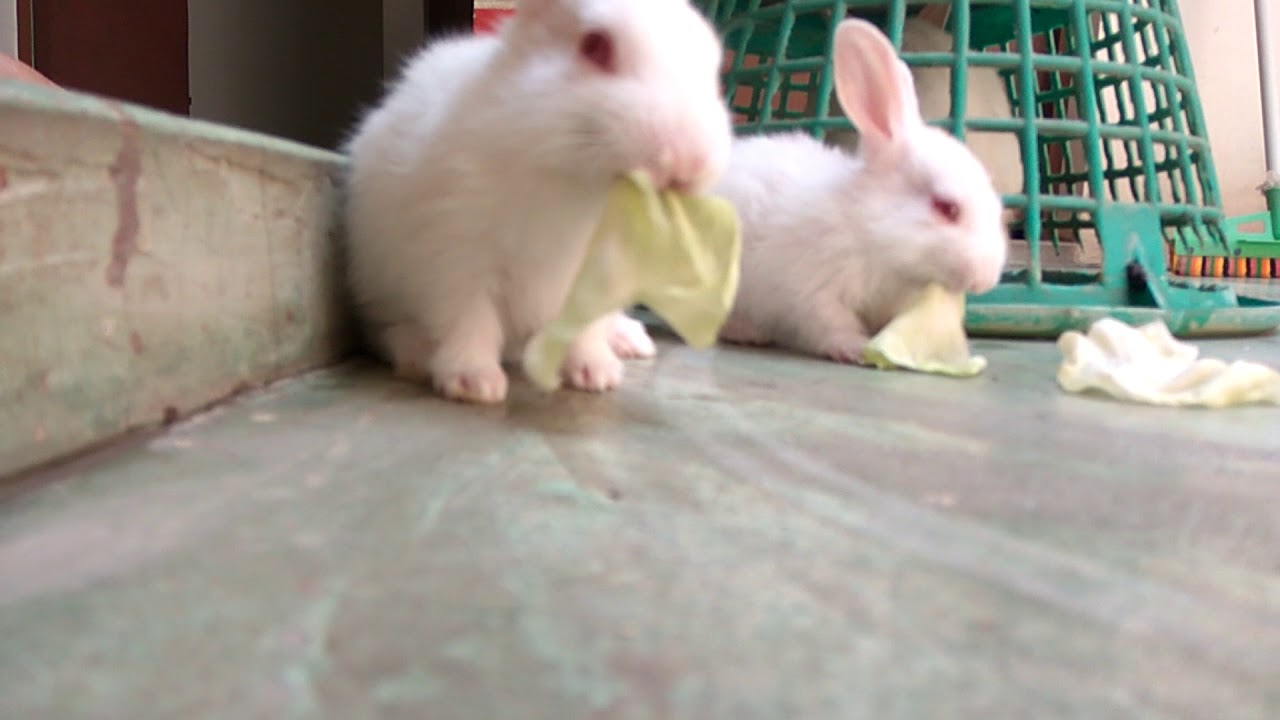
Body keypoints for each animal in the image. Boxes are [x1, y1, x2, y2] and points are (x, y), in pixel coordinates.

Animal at [341, 0, 733, 404]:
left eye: (715, 76)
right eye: (595, 46)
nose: (689, 164)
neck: (572, 182)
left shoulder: (596, 280)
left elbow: (586, 331)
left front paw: (597, 374)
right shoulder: (455, 258)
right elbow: (468, 321)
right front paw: (475, 383)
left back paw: (630, 341)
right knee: (382, 331)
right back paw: (416, 357)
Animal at [712, 18, 1009, 363]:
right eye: (947, 207)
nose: (986, 279)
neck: (869, 233)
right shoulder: (810, 289)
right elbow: (828, 322)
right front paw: (853, 348)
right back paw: (747, 332)